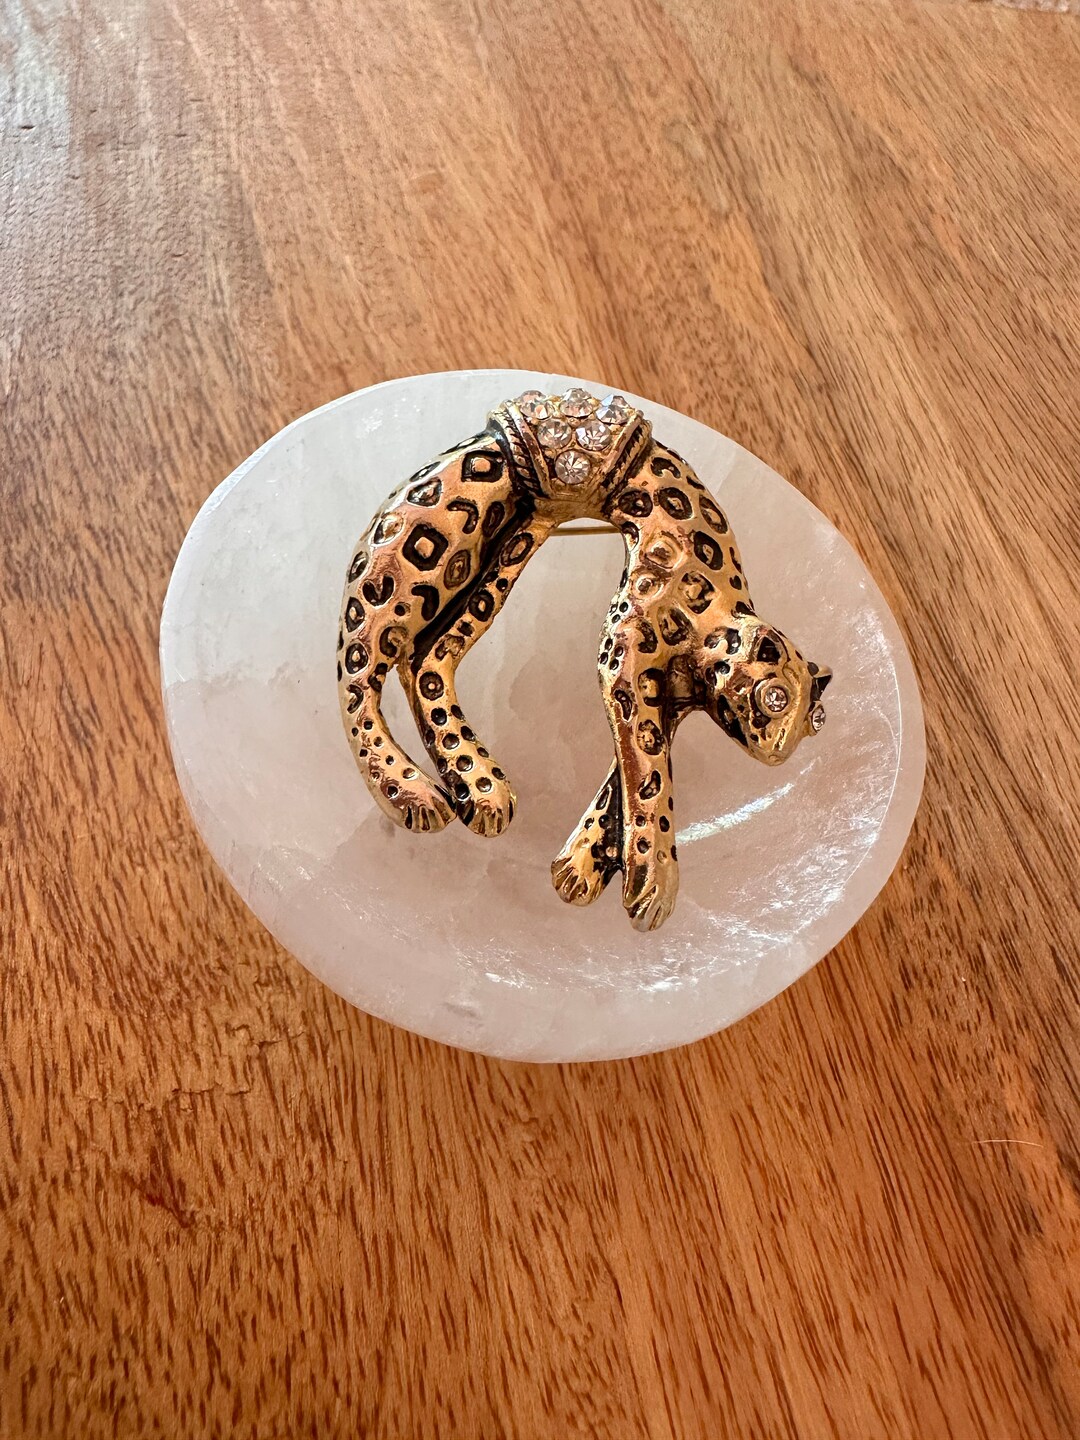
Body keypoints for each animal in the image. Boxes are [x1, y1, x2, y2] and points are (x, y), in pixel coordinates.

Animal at [338, 386, 831, 931]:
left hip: (512, 545)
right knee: (358, 673)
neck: (718, 608)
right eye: (773, 697)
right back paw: (407, 789)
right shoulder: (623, 664)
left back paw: (476, 782)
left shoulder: (671, 697)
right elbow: (651, 780)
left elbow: (630, 777)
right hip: (428, 553)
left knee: (425, 662)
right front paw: (656, 881)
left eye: (814, 723)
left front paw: (582, 865)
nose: (777, 750)